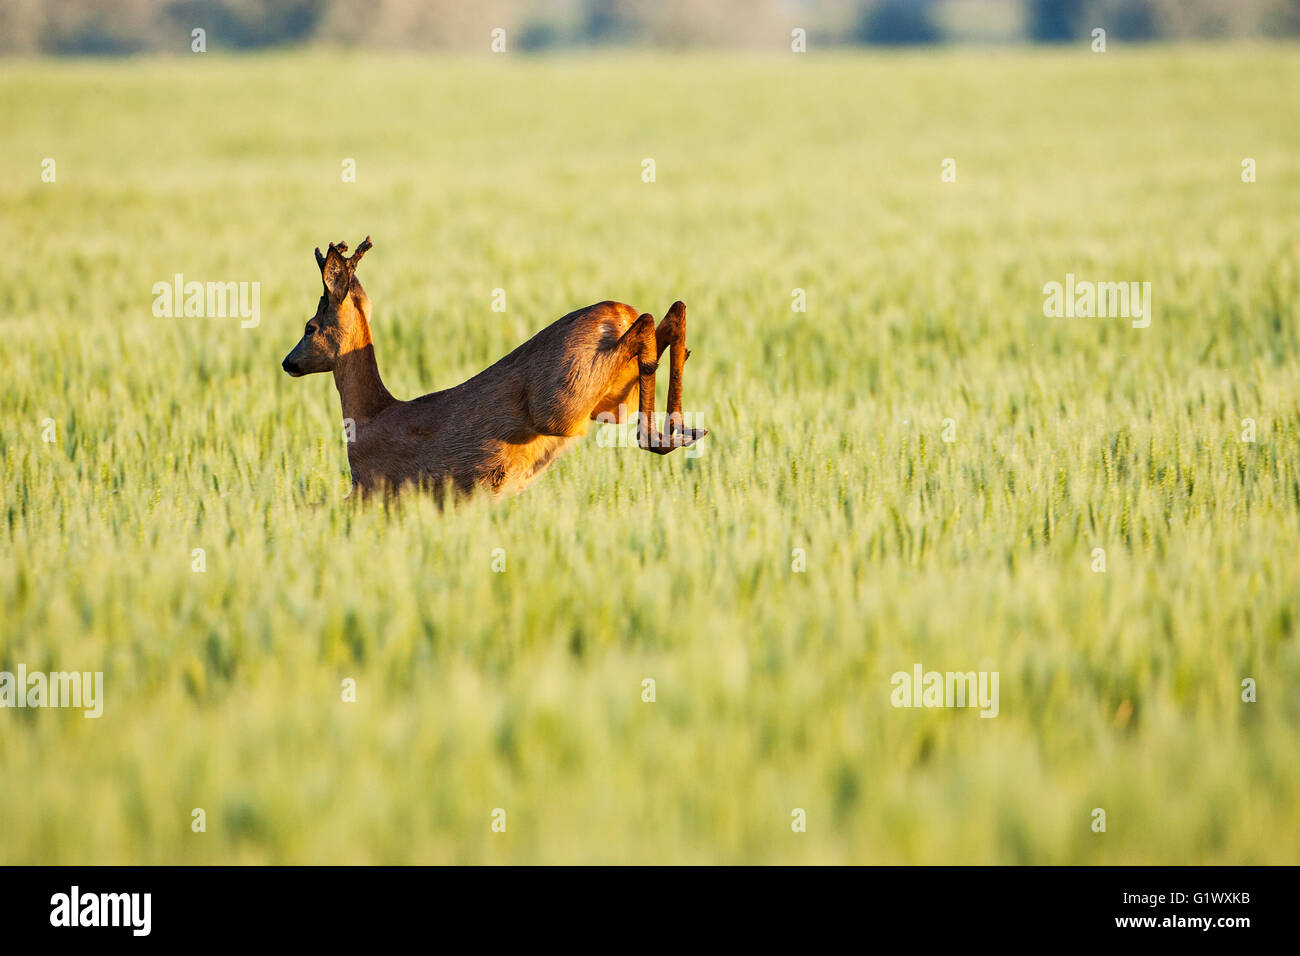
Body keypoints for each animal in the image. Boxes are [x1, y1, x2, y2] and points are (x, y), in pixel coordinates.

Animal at [281, 237, 708, 499]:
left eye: (310, 327)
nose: (288, 362)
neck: (370, 415)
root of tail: (618, 311)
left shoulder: (373, 488)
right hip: (609, 401)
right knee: (670, 315)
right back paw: (681, 431)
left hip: (564, 400)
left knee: (648, 324)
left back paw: (665, 435)